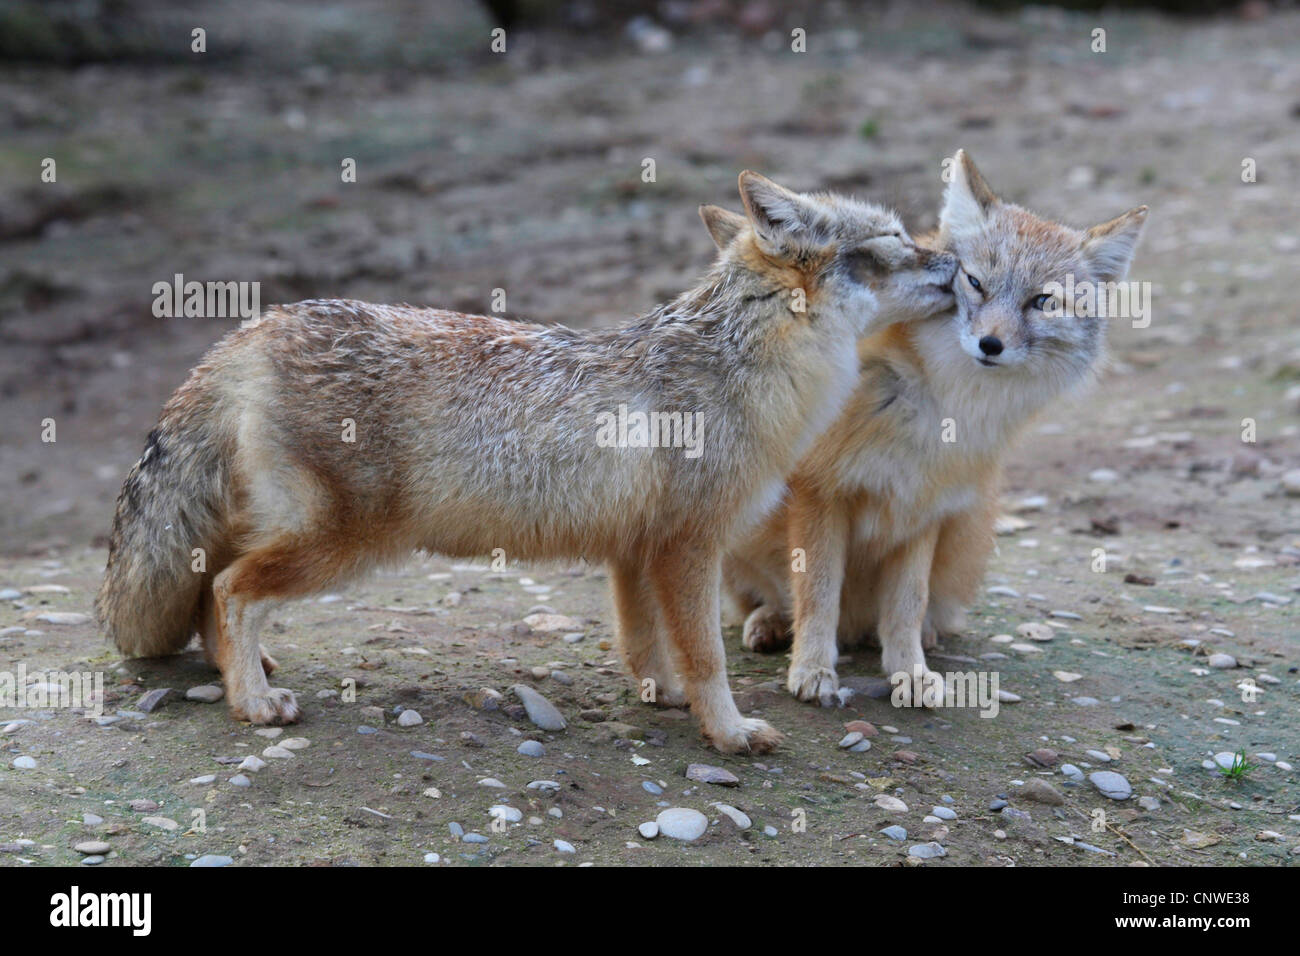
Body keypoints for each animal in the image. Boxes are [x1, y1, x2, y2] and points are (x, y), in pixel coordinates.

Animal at [94, 170, 957, 753]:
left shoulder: (635, 550)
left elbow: (646, 644)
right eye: (897, 248)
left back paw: (241, 673)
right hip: (341, 544)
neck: (744, 366)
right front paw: (730, 730)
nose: (961, 268)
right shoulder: (688, 544)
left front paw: (664, 698)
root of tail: (255, 327)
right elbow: (706, 654)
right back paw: (252, 702)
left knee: (209, 588)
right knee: (230, 588)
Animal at [723, 150, 1148, 707]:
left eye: (1042, 302)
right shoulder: (820, 492)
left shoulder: (923, 506)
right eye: (975, 282)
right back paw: (771, 621)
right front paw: (813, 669)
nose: (991, 344)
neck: (937, 403)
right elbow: (816, 589)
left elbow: (907, 601)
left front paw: (910, 672)